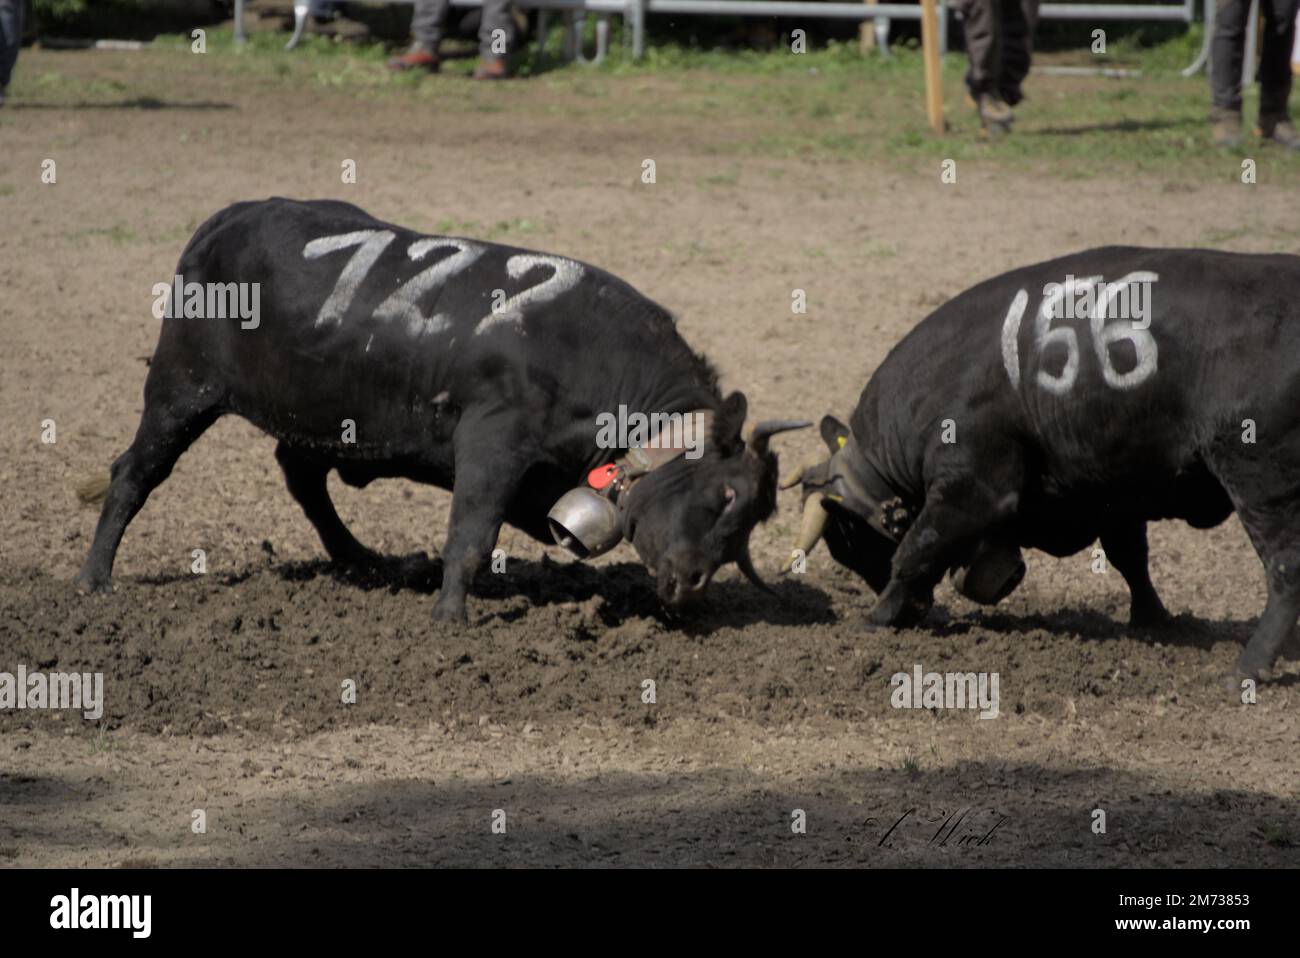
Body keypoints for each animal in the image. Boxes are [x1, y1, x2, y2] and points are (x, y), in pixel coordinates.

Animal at [74, 198, 808, 622]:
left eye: (751, 519)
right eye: (722, 496)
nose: (692, 582)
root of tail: (227, 218)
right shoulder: (492, 443)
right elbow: (472, 535)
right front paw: (451, 620)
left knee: (304, 477)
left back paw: (364, 561)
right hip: (181, 386)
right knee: (134, 473)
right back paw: (95, 581)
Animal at [781, 246, 1300, 681]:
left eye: (845, 540)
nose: (915, 611)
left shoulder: (971, 488)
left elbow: (914, 549)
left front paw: (877, 617)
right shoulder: (1112, 489)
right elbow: (1130, 558)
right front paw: (1152, 619)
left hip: (1261, 484)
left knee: (1285, 573)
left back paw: (1248, 668)